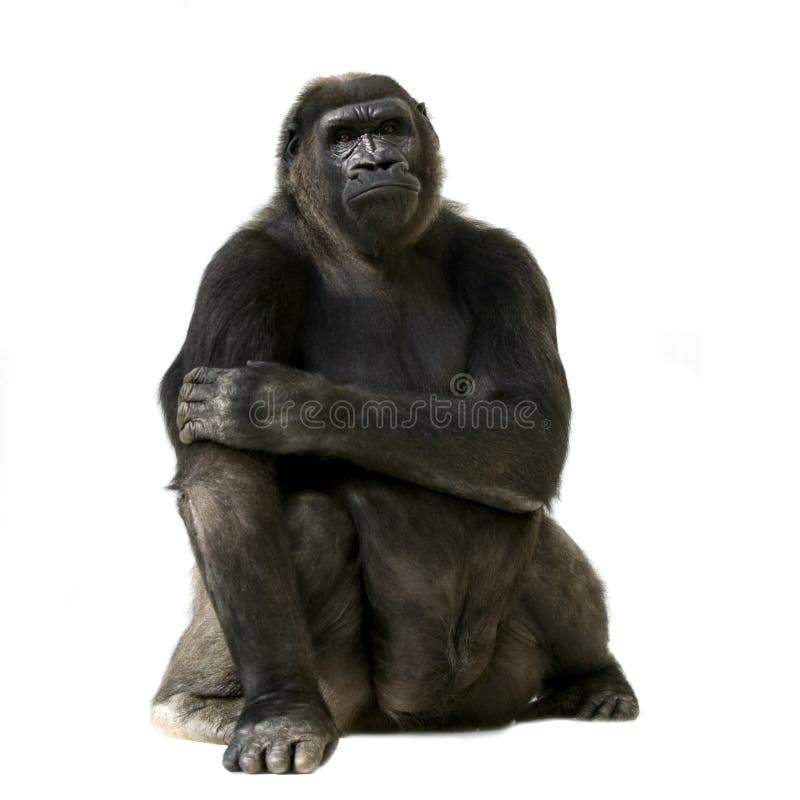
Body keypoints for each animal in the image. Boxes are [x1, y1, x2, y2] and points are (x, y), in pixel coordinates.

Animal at [151, 72, 638, 775]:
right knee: (307, 523)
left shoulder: (507, 262)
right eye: (343, 138)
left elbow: (528, 427)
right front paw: (279, 712)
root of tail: (408, 724)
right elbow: (225, 477)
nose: (378, 163)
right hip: (349, 699)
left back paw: (594, 676)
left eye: (389, 128)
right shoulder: (242, 271)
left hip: (496, 688)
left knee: (535, 527)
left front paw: (284, 404)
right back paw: (195, 703)